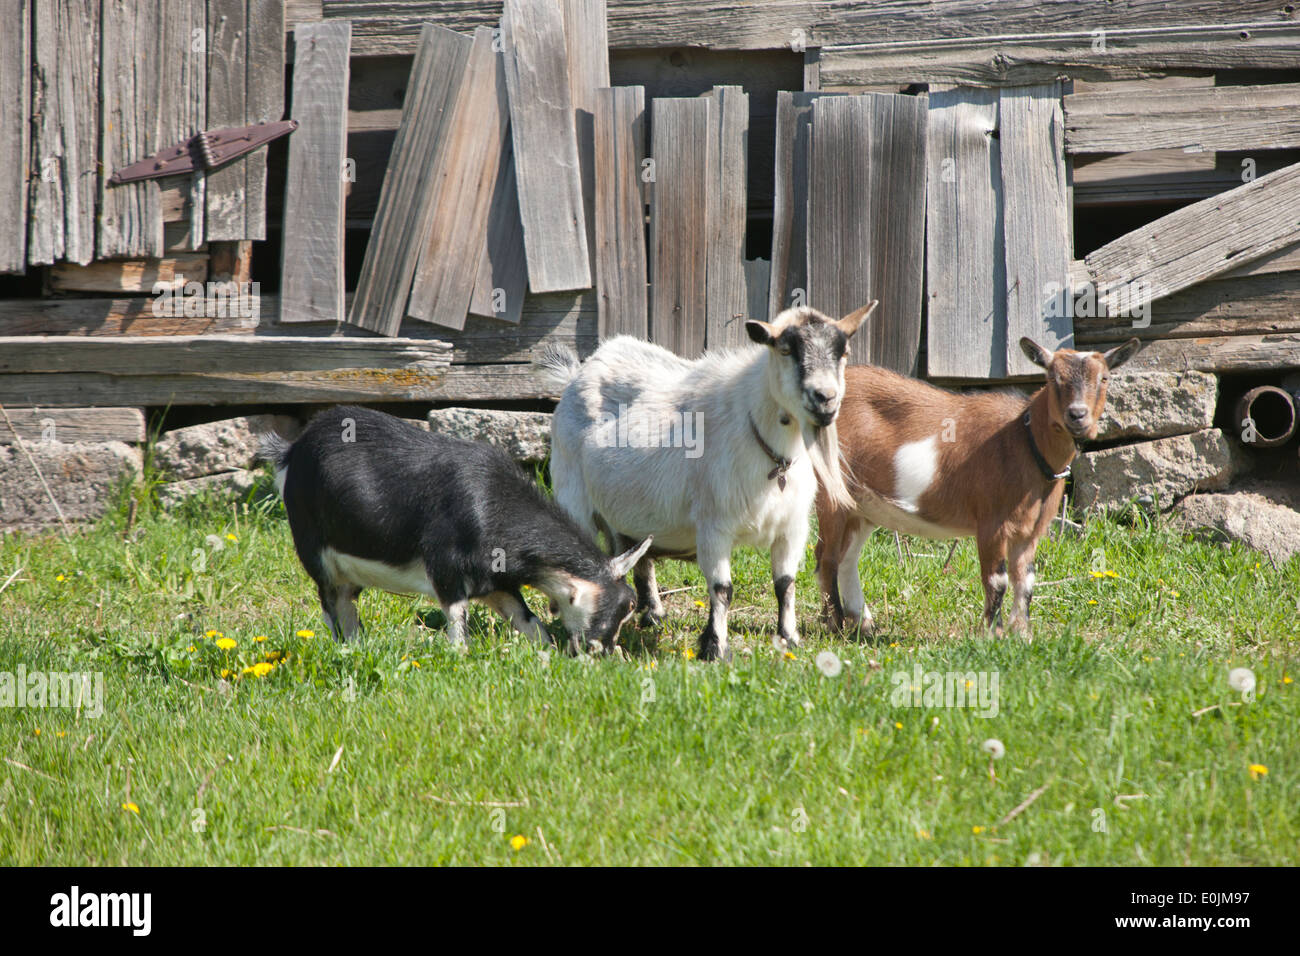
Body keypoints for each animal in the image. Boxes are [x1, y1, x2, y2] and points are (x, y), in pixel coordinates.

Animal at [262, 406, 652, 653]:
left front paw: (546, 655)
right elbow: (458, 629)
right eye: (628, 603)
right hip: (316, 553)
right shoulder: (446, 570)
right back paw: (344, 652)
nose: (601, 652)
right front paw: (461, 658)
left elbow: (532, 623)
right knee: (330, 605)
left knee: (346, 605)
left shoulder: (496, 583)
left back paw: (359, 648)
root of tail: (291, 451)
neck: (489, 504)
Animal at [535, 302, 876, 661]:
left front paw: (789, 639)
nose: (825, 398)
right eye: (785, 350)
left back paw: (653, 614)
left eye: (843, 353)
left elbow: (785, 583)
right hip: (573, 494)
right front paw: (716, 648)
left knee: (635, 555)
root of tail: (579, 372)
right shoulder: (714, 526)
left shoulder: (792, 526)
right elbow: (722, 589)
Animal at [816, 336, 1142, 636]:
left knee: (846, 558)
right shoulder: (991, 523)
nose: (1077, 415)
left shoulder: (1031, 530)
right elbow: (997, 581)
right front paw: (993, 634)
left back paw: (864, 624)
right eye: (1052, 377)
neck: (1022, 440)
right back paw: (834, 625)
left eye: (1104, 378)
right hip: (831, 492)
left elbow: (1026, 581)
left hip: (862, 504)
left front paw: (1022, 634)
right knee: (826, 558)